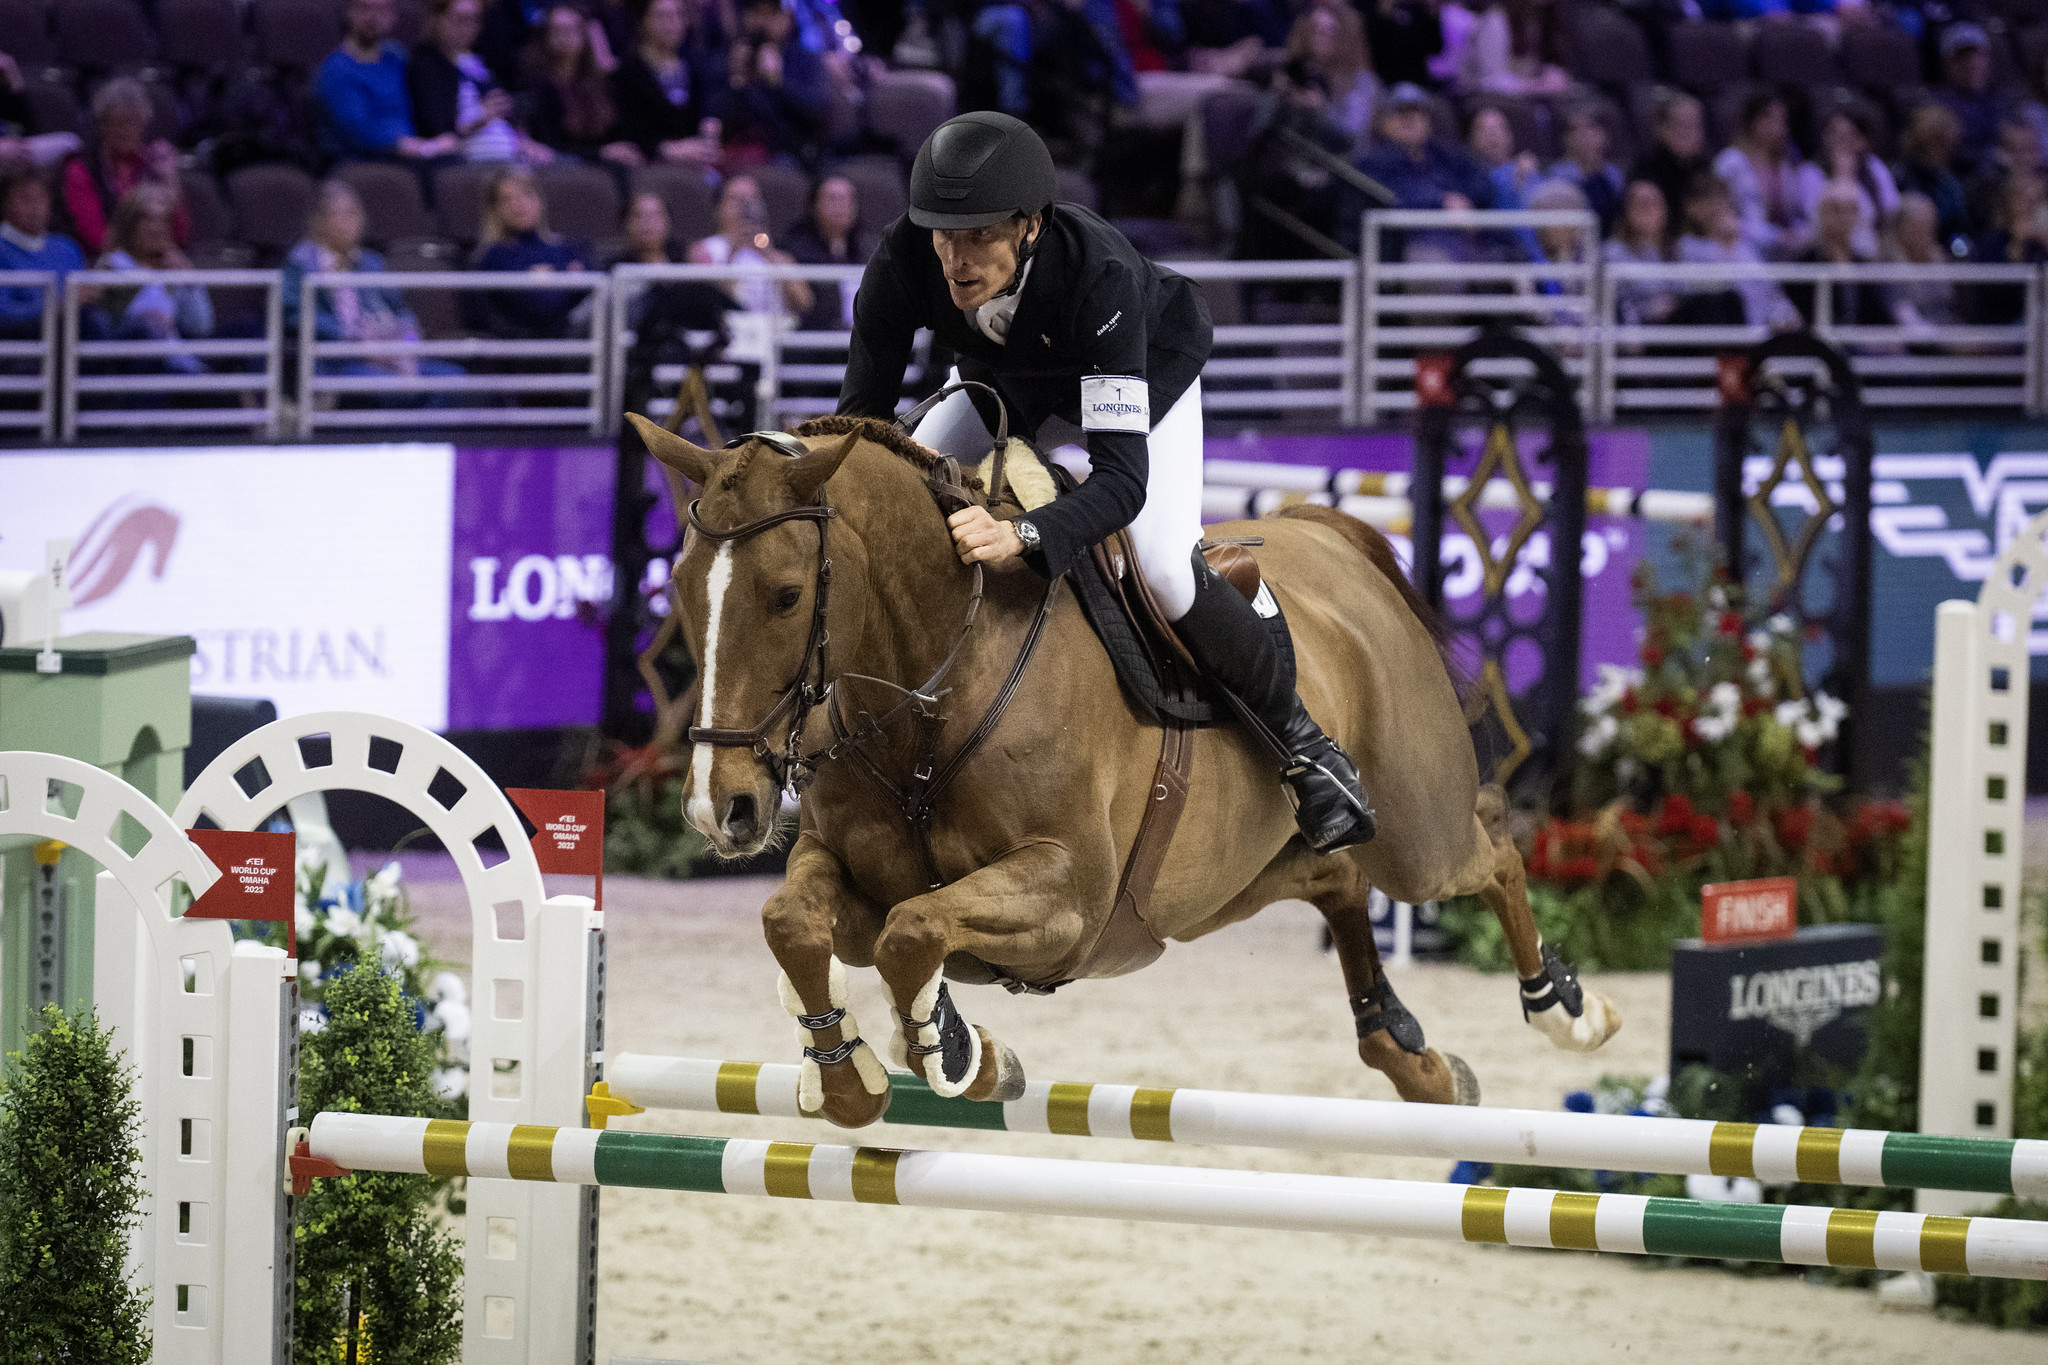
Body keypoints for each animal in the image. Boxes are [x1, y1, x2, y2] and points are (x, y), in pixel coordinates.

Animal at [626, 412, 1620, 1128]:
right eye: (677, 588)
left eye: (787, 594)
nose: (722, 809)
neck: (935, 689)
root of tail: (1330, 540)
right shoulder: (843, 866)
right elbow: (795, 921)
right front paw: (848, 1079)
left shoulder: (1069, 897)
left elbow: (914, 931)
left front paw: (960, 1050)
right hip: (1218, 889)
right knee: (1336, 879)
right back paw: (1413, 1057)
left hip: (1414, 837)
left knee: (1490, 844)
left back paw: (1568, 1009)